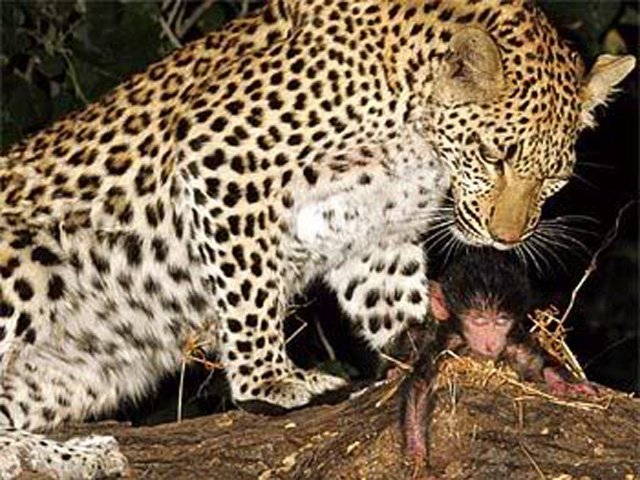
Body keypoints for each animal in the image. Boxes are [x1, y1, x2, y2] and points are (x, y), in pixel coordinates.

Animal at [400, 251, 599, 475]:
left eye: (501, 321)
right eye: (479, 321)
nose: (491, 343)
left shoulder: (511, 341)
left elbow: (533, 363)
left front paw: (561, 379)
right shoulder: (445, 343)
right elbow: (421, 385)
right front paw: (416, 450)